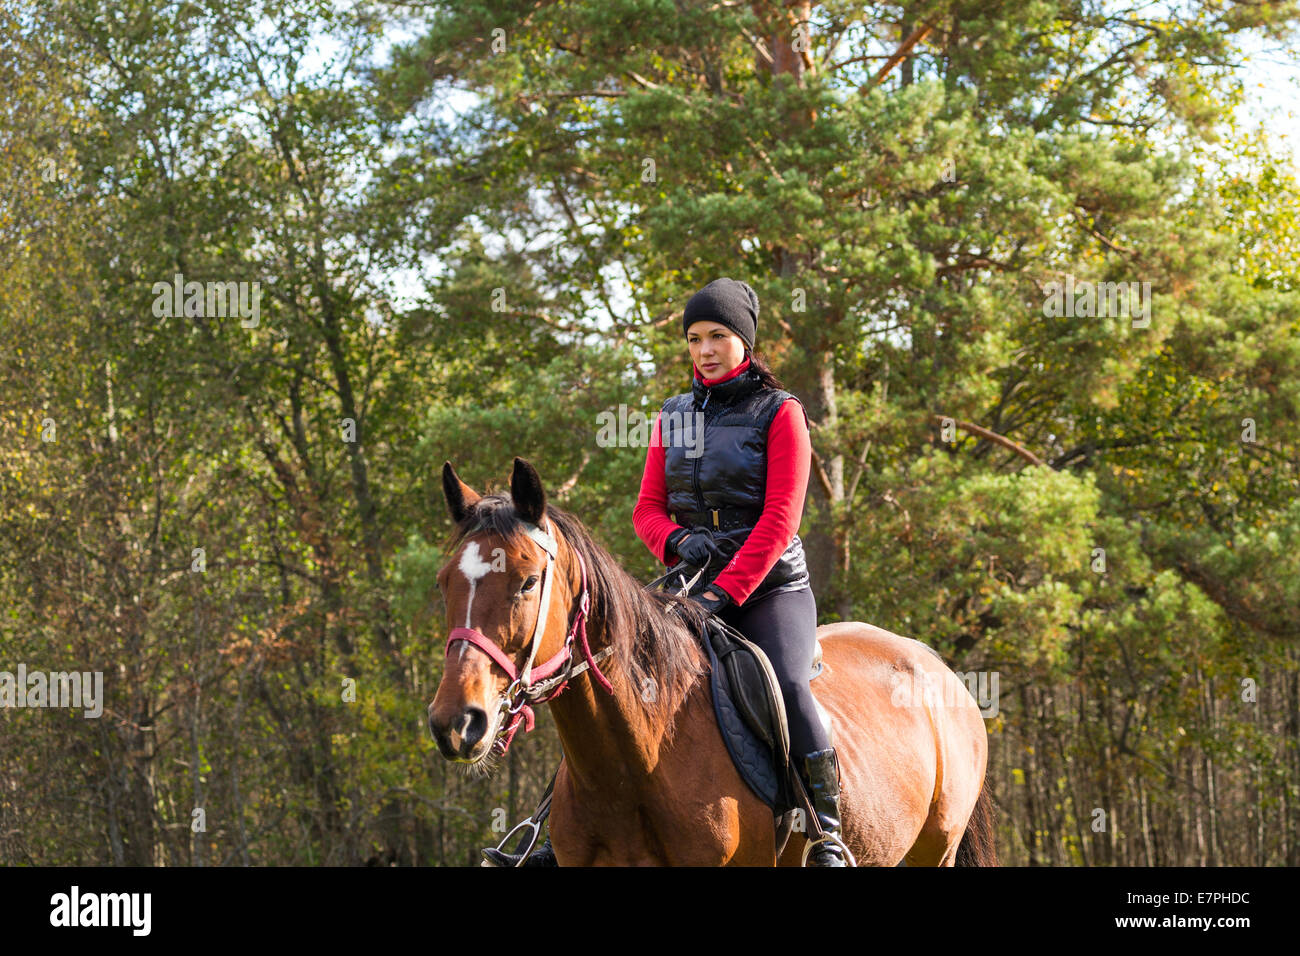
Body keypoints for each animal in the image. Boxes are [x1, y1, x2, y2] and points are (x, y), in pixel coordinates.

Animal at [427, 457, 996, 866]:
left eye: (527, 581)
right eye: (445, 583)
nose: (457, 723)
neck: (637, 761)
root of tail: (936, 666)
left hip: (935, 851)